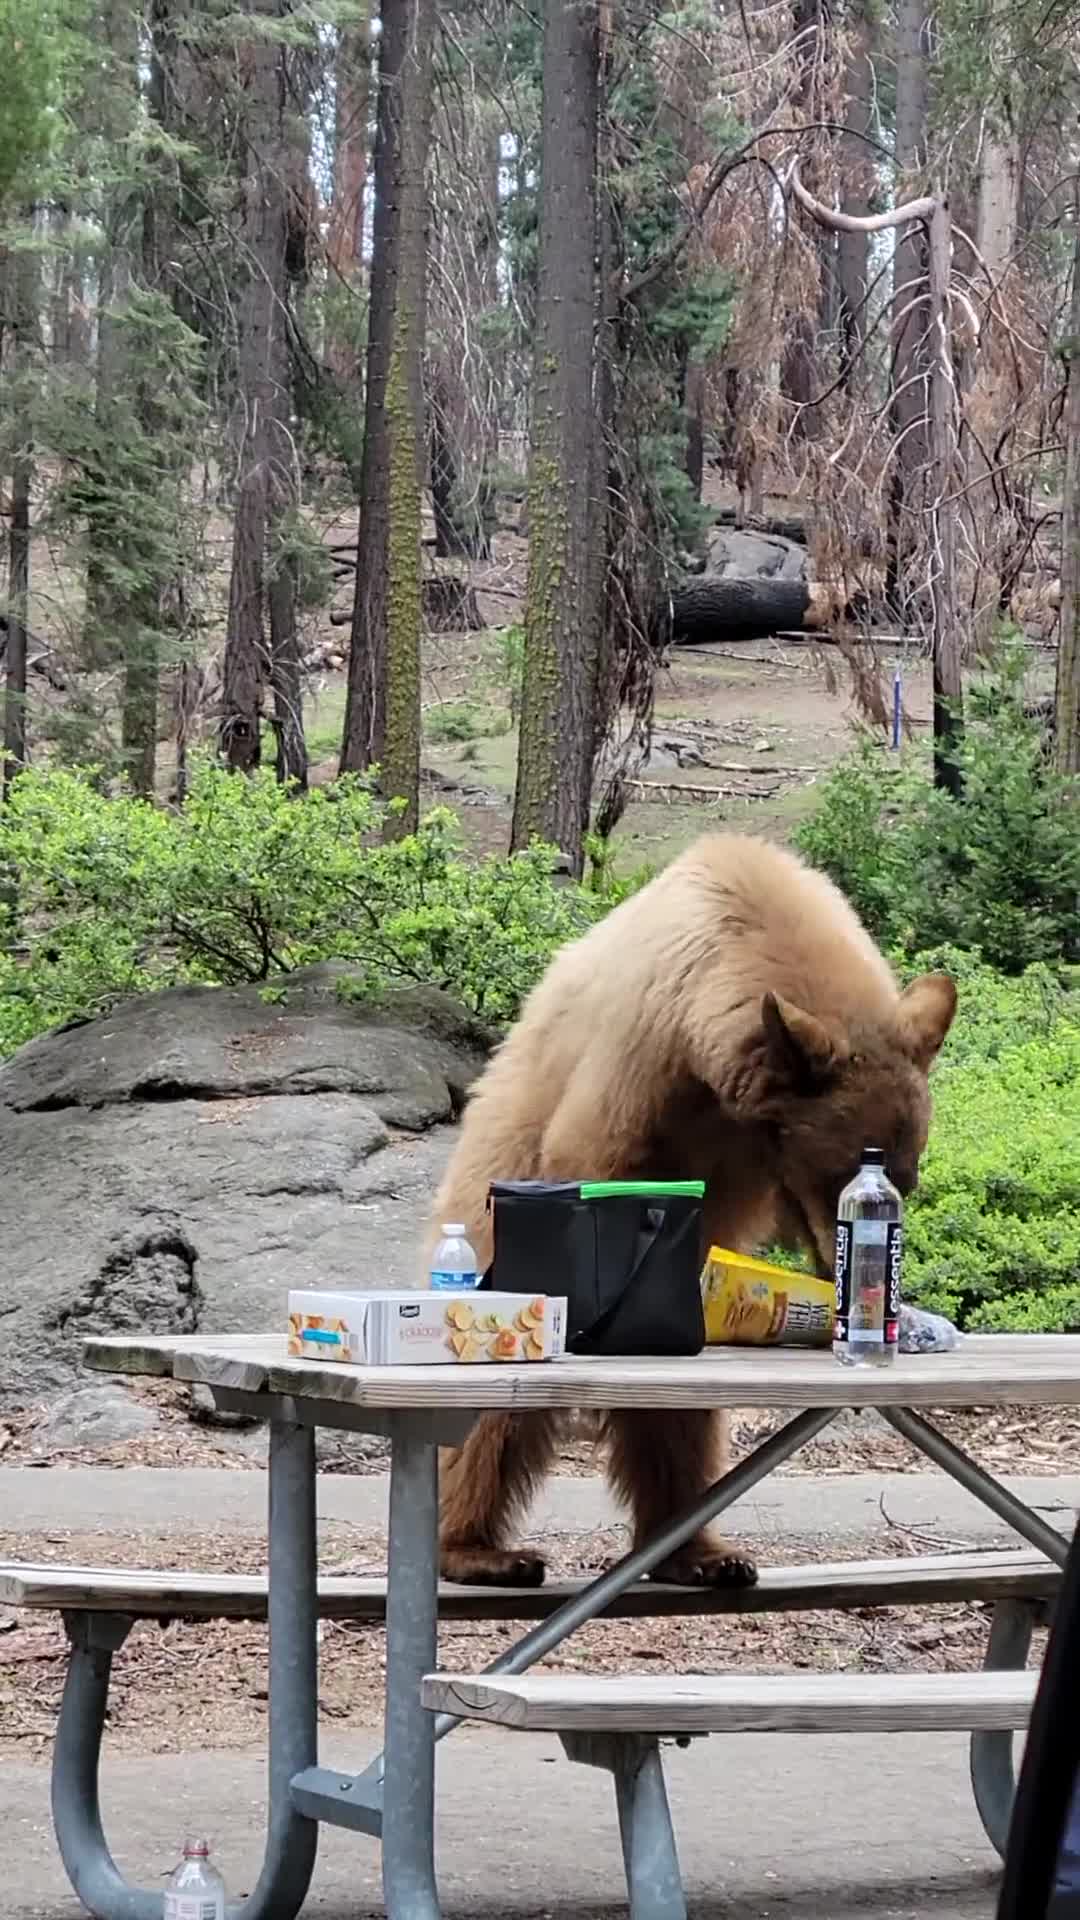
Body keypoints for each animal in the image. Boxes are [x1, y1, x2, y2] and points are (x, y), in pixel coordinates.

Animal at [431, 832, 956, 1590]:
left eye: (909, 1178)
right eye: (843, 1171)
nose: (852, 1265)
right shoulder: (639, 1050)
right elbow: (593, 1160)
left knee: (685, 1427)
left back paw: (700, 1552)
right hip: (492, 1203)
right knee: (487, 1424)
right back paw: (479, 1549)